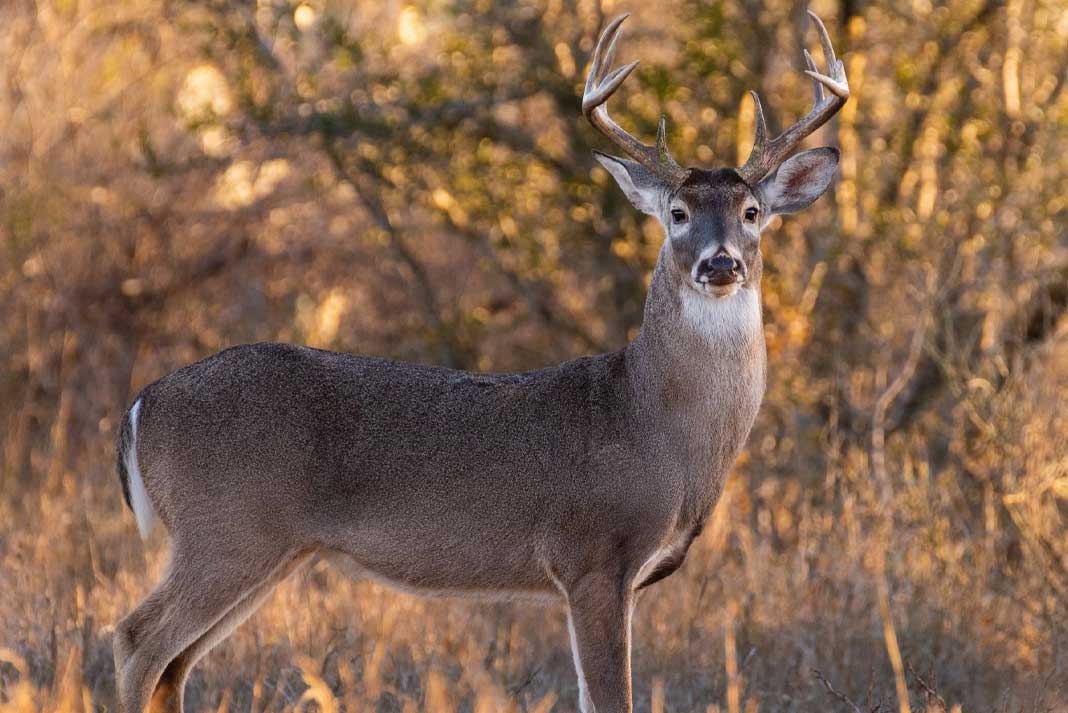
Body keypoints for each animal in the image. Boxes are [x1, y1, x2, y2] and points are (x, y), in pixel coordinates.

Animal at [112, 11, 848, 713]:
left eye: (751, 212)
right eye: (677, 212)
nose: (719, 263)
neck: (657, 424)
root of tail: (142, 404)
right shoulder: (592, 555)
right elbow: (613, 696)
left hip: (261, 547)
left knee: (174, 665)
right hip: (227, 528)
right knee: (136, 640)